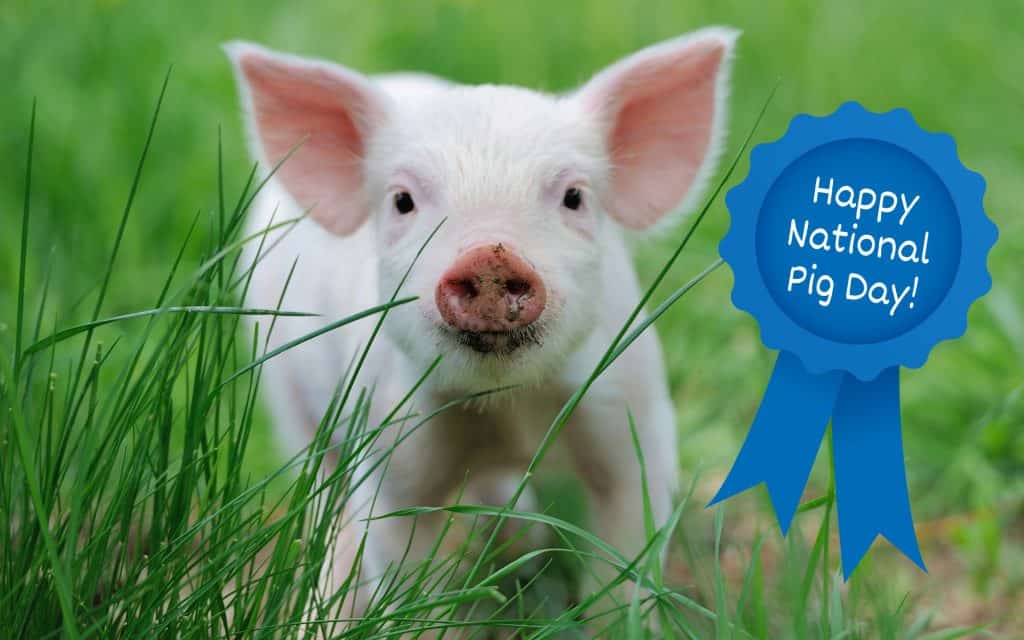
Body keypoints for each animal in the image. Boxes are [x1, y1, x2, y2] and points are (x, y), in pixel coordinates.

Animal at [225, 26, 737, 628]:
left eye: (574, 197)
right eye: (402, 201)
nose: (490, 256)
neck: (505, 407)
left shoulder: (635, 416)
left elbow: (625, 555)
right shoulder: (389, 441)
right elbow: (399, 561)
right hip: (288, 394)